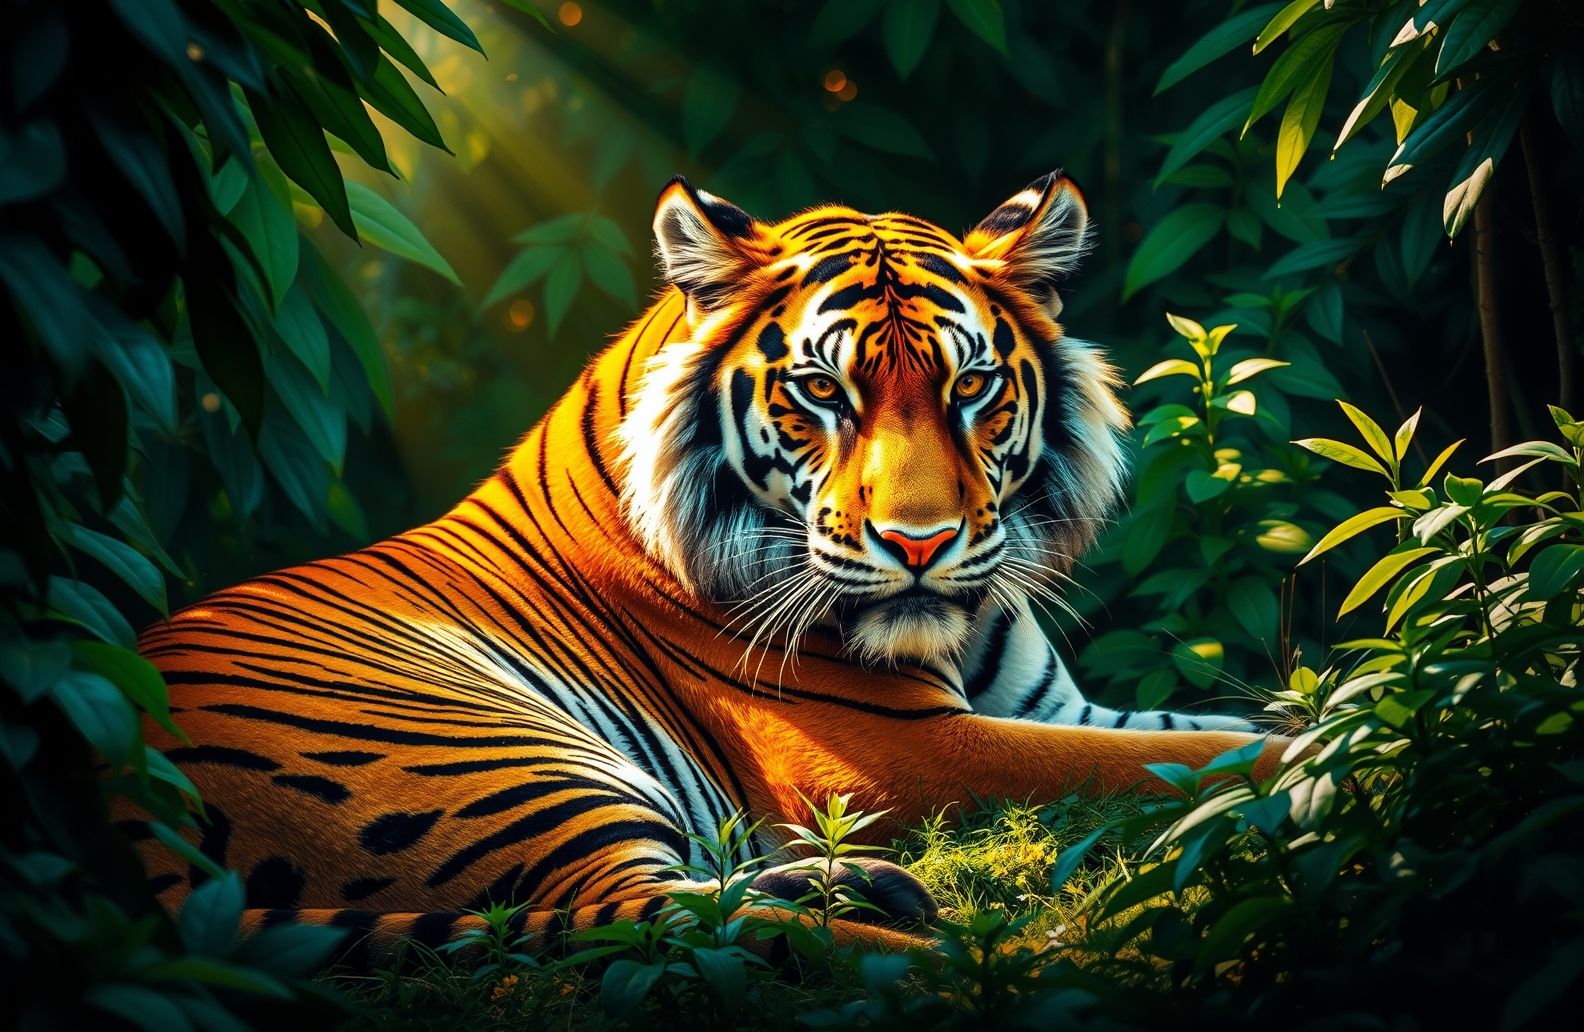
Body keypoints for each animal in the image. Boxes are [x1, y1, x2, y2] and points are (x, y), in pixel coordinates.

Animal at [129, 171, 1287, 959]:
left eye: (973, 387)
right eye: (822, 391)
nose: (920, 545)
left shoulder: (1058, 707)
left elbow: (1217, 724)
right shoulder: (908, 754)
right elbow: (1187, 761)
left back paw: (862, 887)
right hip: (493, 752)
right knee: (641, 920)